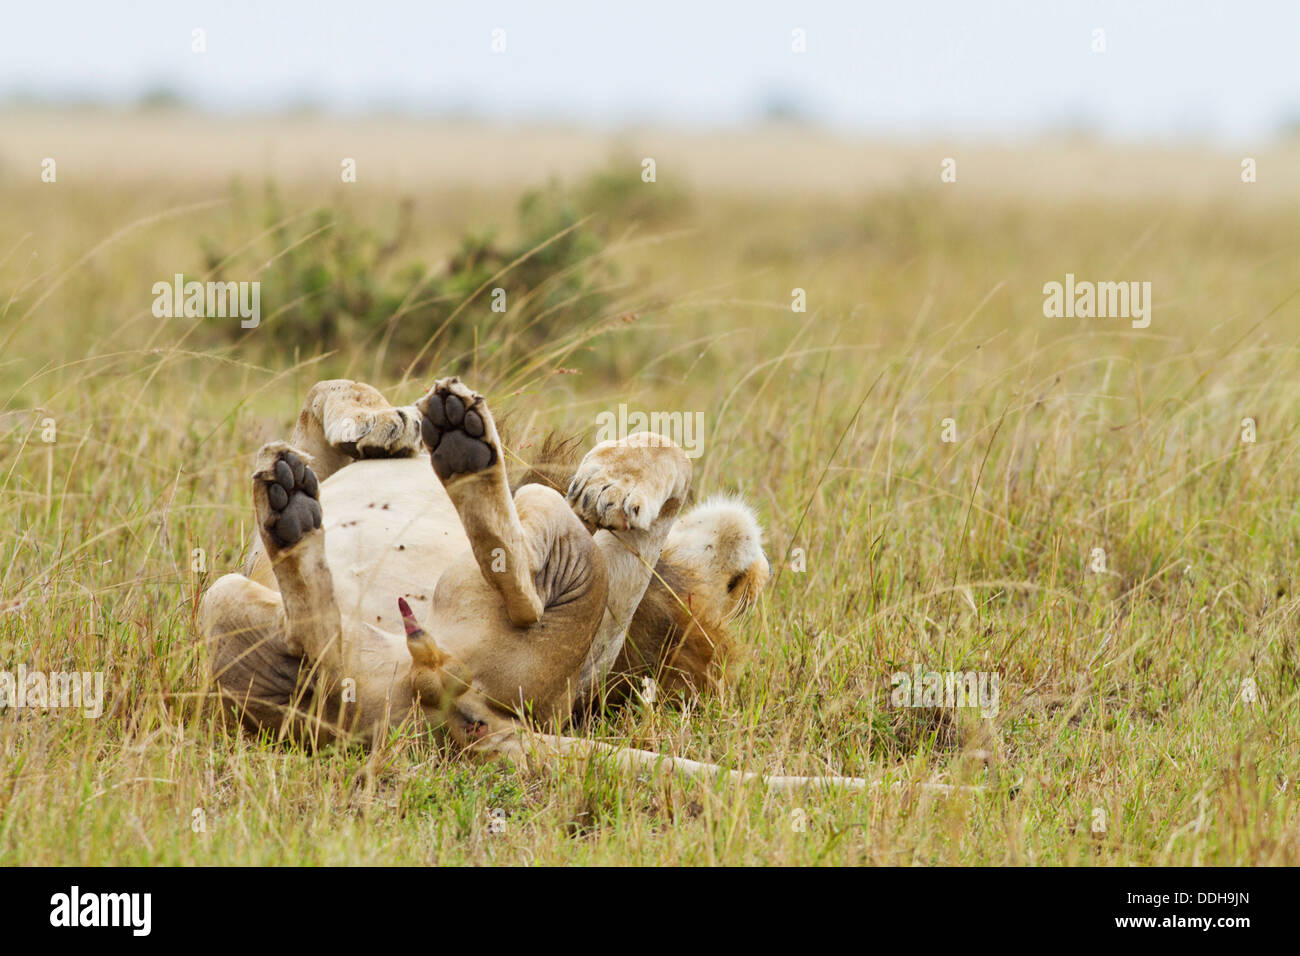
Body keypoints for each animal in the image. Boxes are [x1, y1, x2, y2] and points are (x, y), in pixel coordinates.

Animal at [197, 377, 869, 789]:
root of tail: (469, 715)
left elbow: (669, 450)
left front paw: (611, 484)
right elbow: (322, 395)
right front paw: (381, 421)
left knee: (523, 583)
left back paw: (463, 450)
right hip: (235, 607)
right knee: (323, 646)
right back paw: (301, 511)